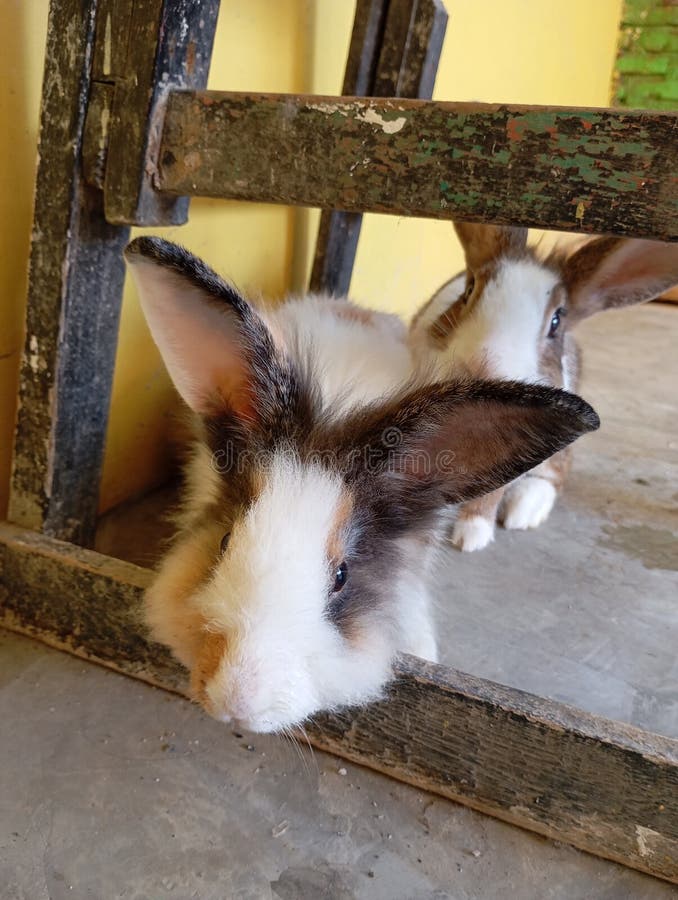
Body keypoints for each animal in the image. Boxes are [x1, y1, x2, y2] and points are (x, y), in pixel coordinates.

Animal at [410, 223, 678, 552]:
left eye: (556, 321)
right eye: (470, 290)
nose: (482, 365)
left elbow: (491, 492)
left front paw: (471, 535)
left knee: (557, 473)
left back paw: (524, 510)